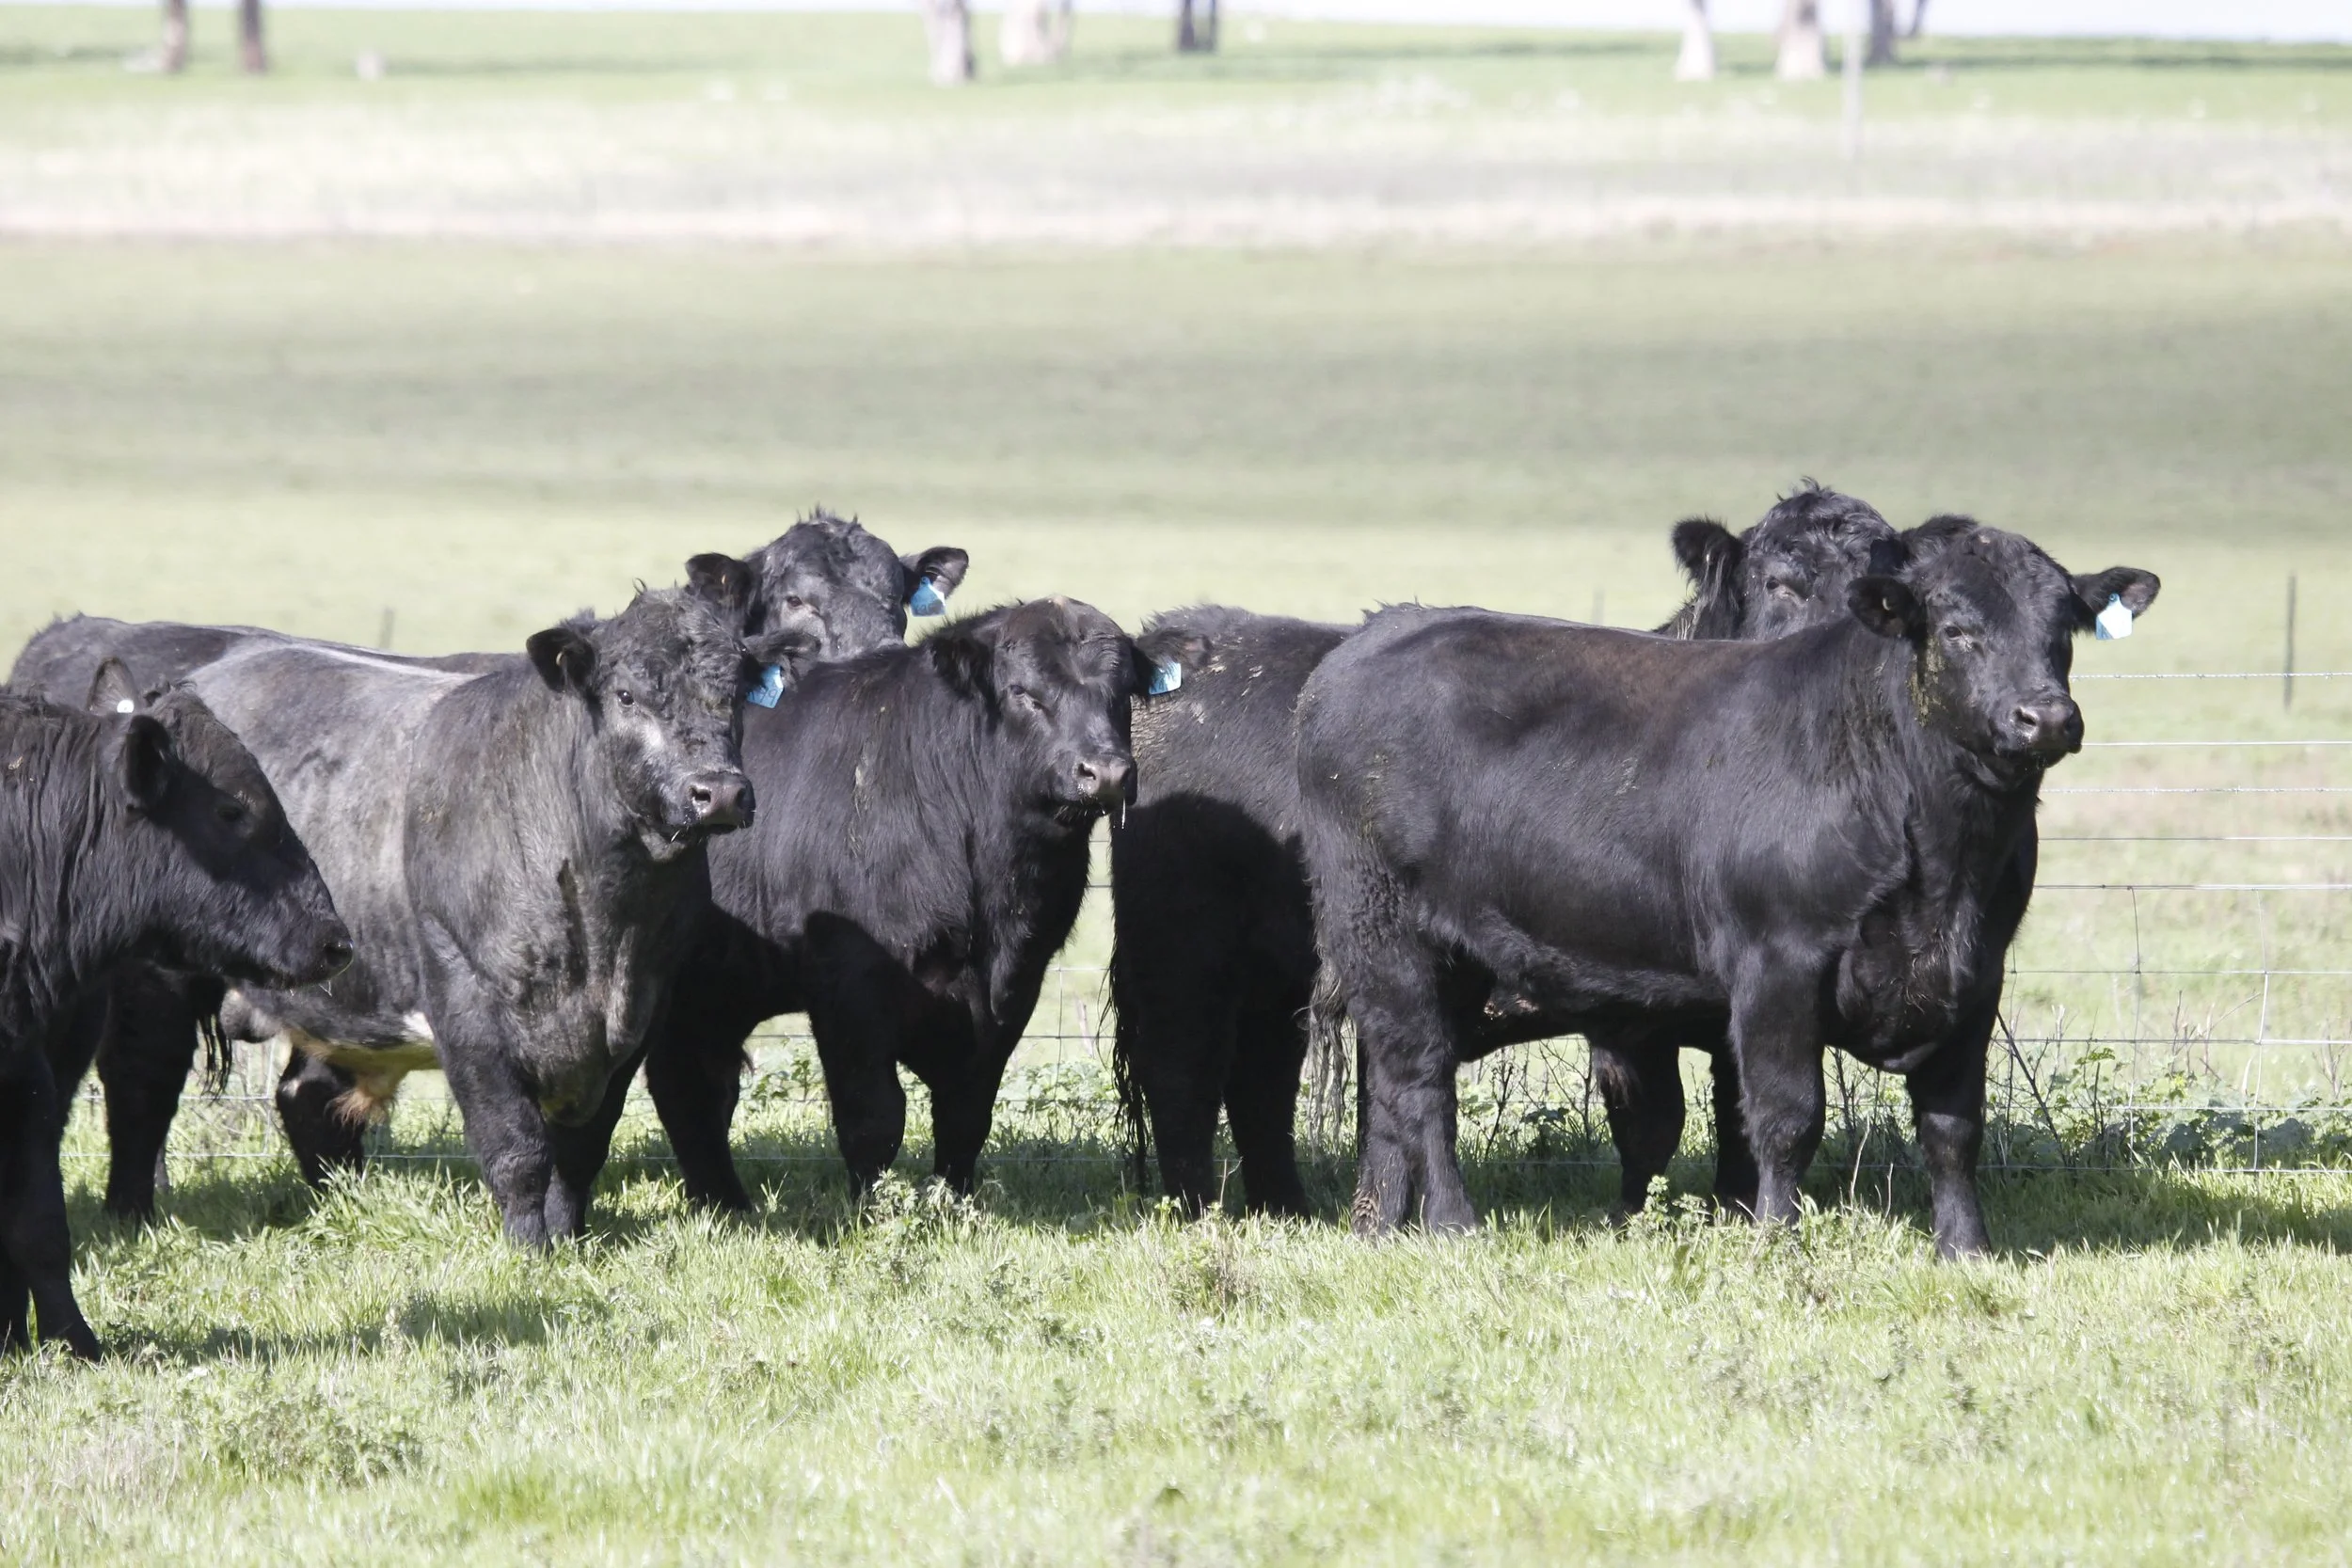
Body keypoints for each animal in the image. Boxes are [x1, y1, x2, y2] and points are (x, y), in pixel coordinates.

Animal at [9, 507, 966, 1221]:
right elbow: (569, 1133)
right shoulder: (494, 1009)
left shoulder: (638, 1011)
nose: (717, 792)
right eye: (796, 603)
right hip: (159, 978)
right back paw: (133, 1212)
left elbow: (596, 1138)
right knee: (142, 1083)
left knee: (307, 1099)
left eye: (899, 603)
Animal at [634, 598, 1151, 1207]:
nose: (1107, 772)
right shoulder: (849, 985)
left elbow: (966, 1114)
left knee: (690, 1080)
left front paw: (955, 1202)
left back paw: (727, 1204)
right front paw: (869, 1211)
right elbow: (873, 1117)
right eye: (1024, 692)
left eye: (1122, 692)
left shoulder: (1016, 984)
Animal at [1110, 484, 1901, 1217]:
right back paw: (1197, 1207)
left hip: (1276, 978)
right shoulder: (1632, 1020)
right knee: (1183, 1075)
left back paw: (1292, 1207)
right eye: (1780, 582)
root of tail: (1176, 639)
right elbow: (1655, 1125)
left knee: (1262, 1082)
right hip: (1185, 953)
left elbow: (1724, 1121)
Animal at [1295, 518, 2158, 1257]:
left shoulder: (1976, 976)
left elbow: (1952, 1126)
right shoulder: (1778, 965)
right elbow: (1782, 1118)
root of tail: (1375, 634)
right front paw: (1777, 1237)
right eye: (1957, 630)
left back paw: (1383, 1226)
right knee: (1421, 1081)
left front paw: (1966, 1247)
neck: (1944, 860)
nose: (2044, 717)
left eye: (2064, 630)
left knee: (1394, 1096)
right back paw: (1452, 1222)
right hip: (1385, 936)